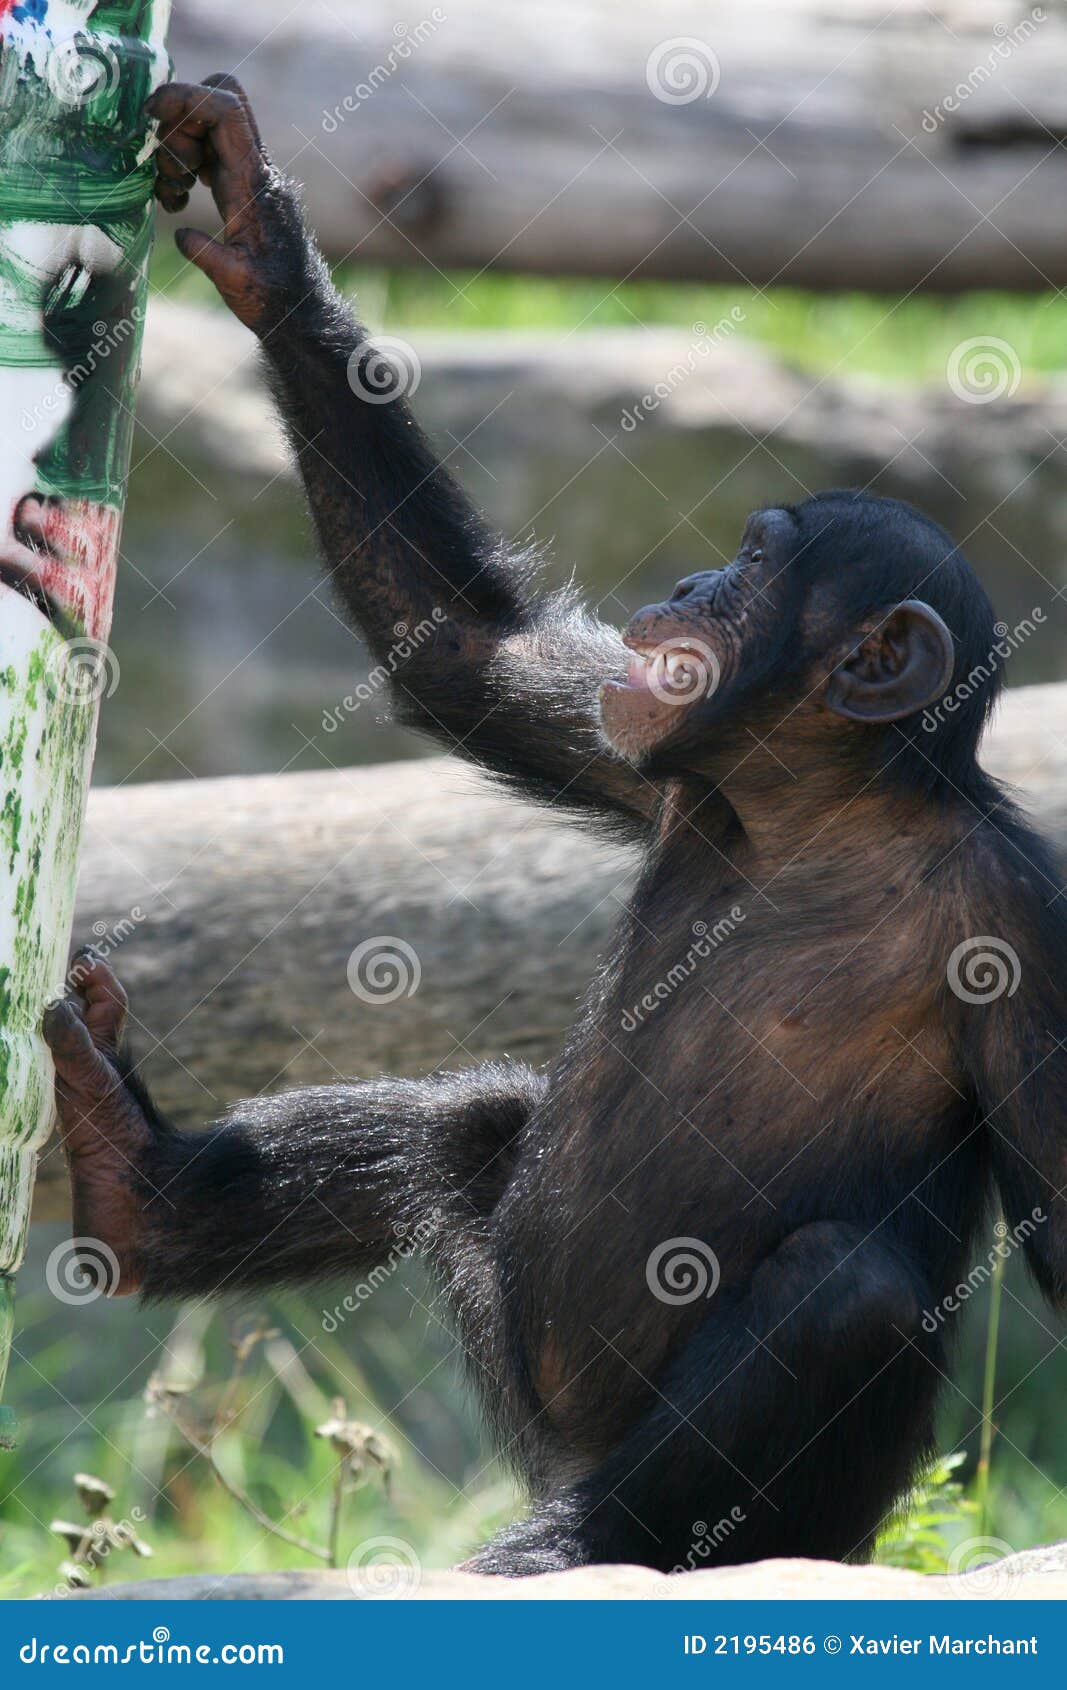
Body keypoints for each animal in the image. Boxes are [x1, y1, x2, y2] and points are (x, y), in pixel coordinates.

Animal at [42, 77, 1067, 1576]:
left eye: (755, 563)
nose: (689, 579)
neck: (817, 811)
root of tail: (571, 1455)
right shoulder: (654, 767)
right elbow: (468, 647)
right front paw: (263, 244)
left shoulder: (1021, 923)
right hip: (513, 1343)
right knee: (461, 1127)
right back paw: (136, 1186)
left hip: (795, 1518)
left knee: (844, 1291)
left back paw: (554, 1550)